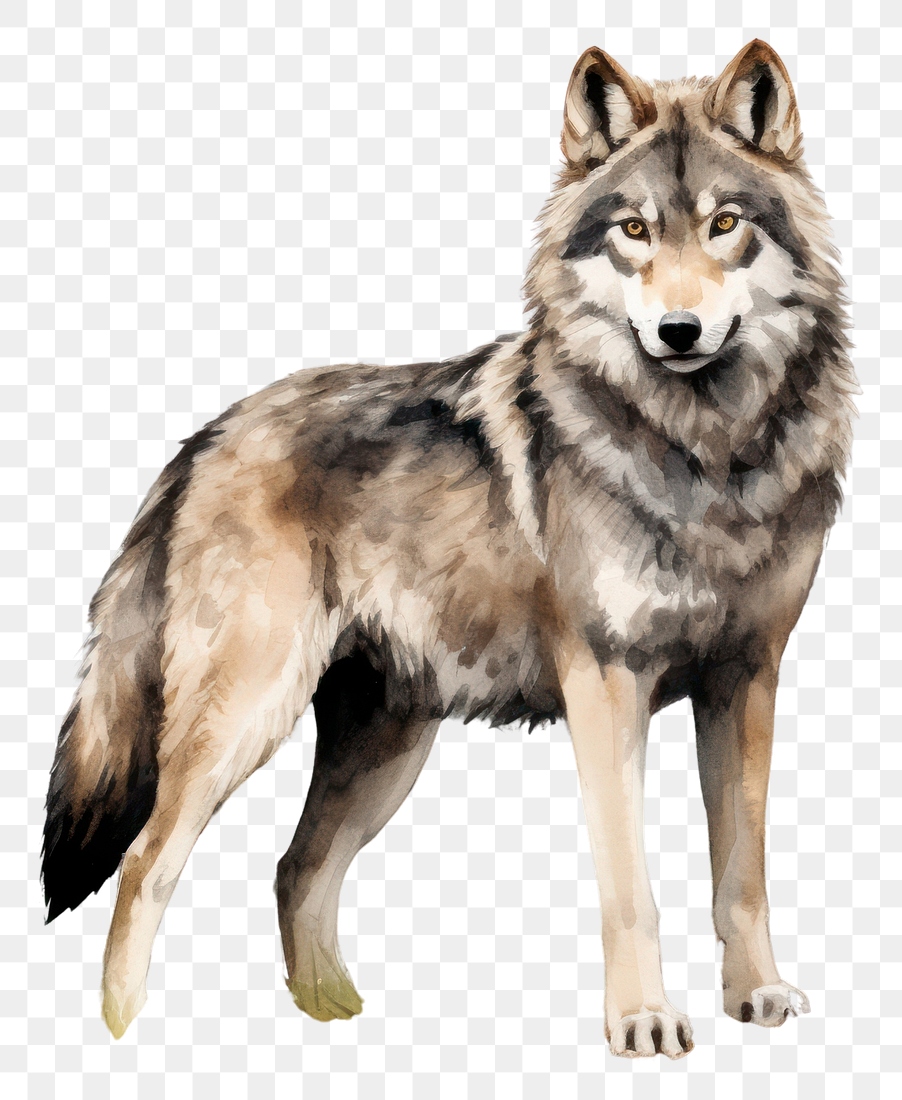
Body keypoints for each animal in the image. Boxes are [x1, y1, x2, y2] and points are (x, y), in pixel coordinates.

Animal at [43, 41, 856, 1057]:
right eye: (633, 229)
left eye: (725, 224)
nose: (678, 331)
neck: (704, 455)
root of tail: (202, 440)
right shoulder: (606, 682)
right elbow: (631, 887)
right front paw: (641, 1022)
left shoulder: (749, 676)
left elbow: (742, 873)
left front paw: (756, 996)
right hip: (247, 715)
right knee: (147, 860)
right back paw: (124, 1038)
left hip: (386, 746)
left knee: (296, 865)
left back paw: (333, 1017)